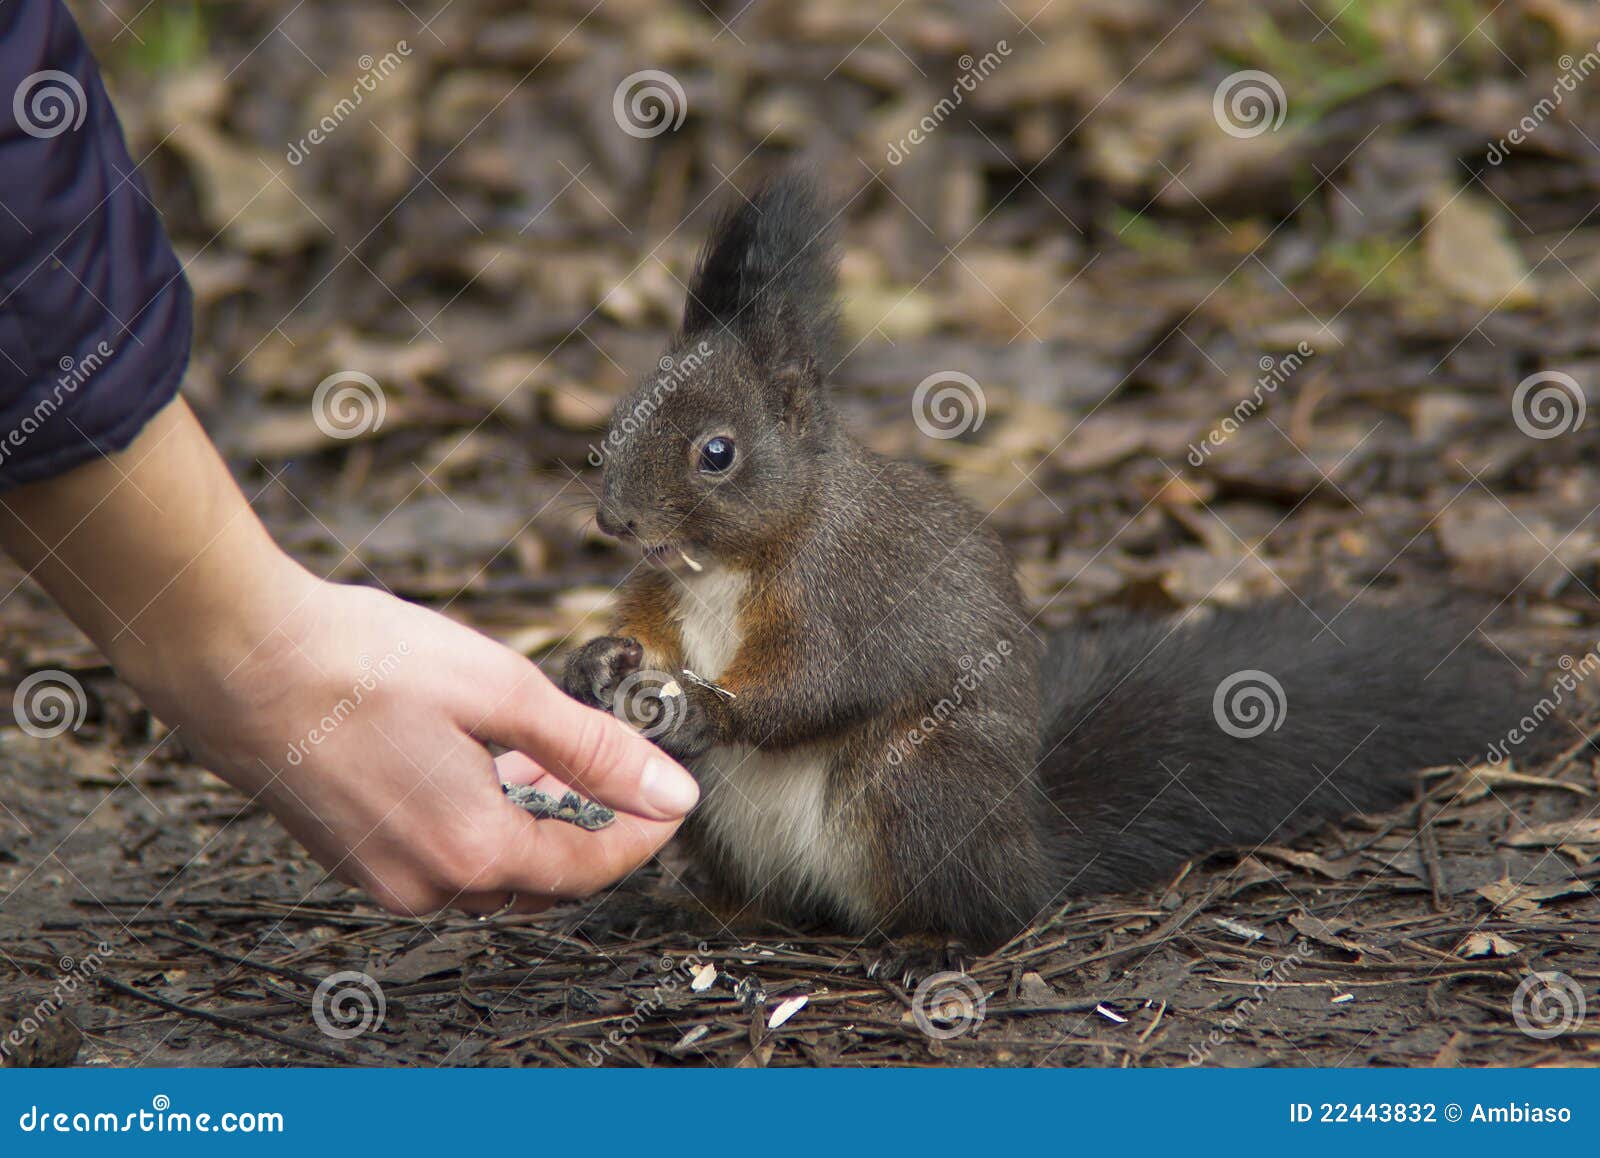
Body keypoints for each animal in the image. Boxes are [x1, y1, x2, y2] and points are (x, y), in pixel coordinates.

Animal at [562, 173, 1526, 954]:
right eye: (618, 420)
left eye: (717, 454)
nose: (615, 518)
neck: (722, 564)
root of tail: (1028, 852)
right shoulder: (665, 591)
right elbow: (647, 628)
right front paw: (595, 660)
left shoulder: (845, 593)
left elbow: (814, 683)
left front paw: (708, 706)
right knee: (766, 901)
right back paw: (696, 910)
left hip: (915, 792)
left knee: (989, 912)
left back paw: (935, 942)